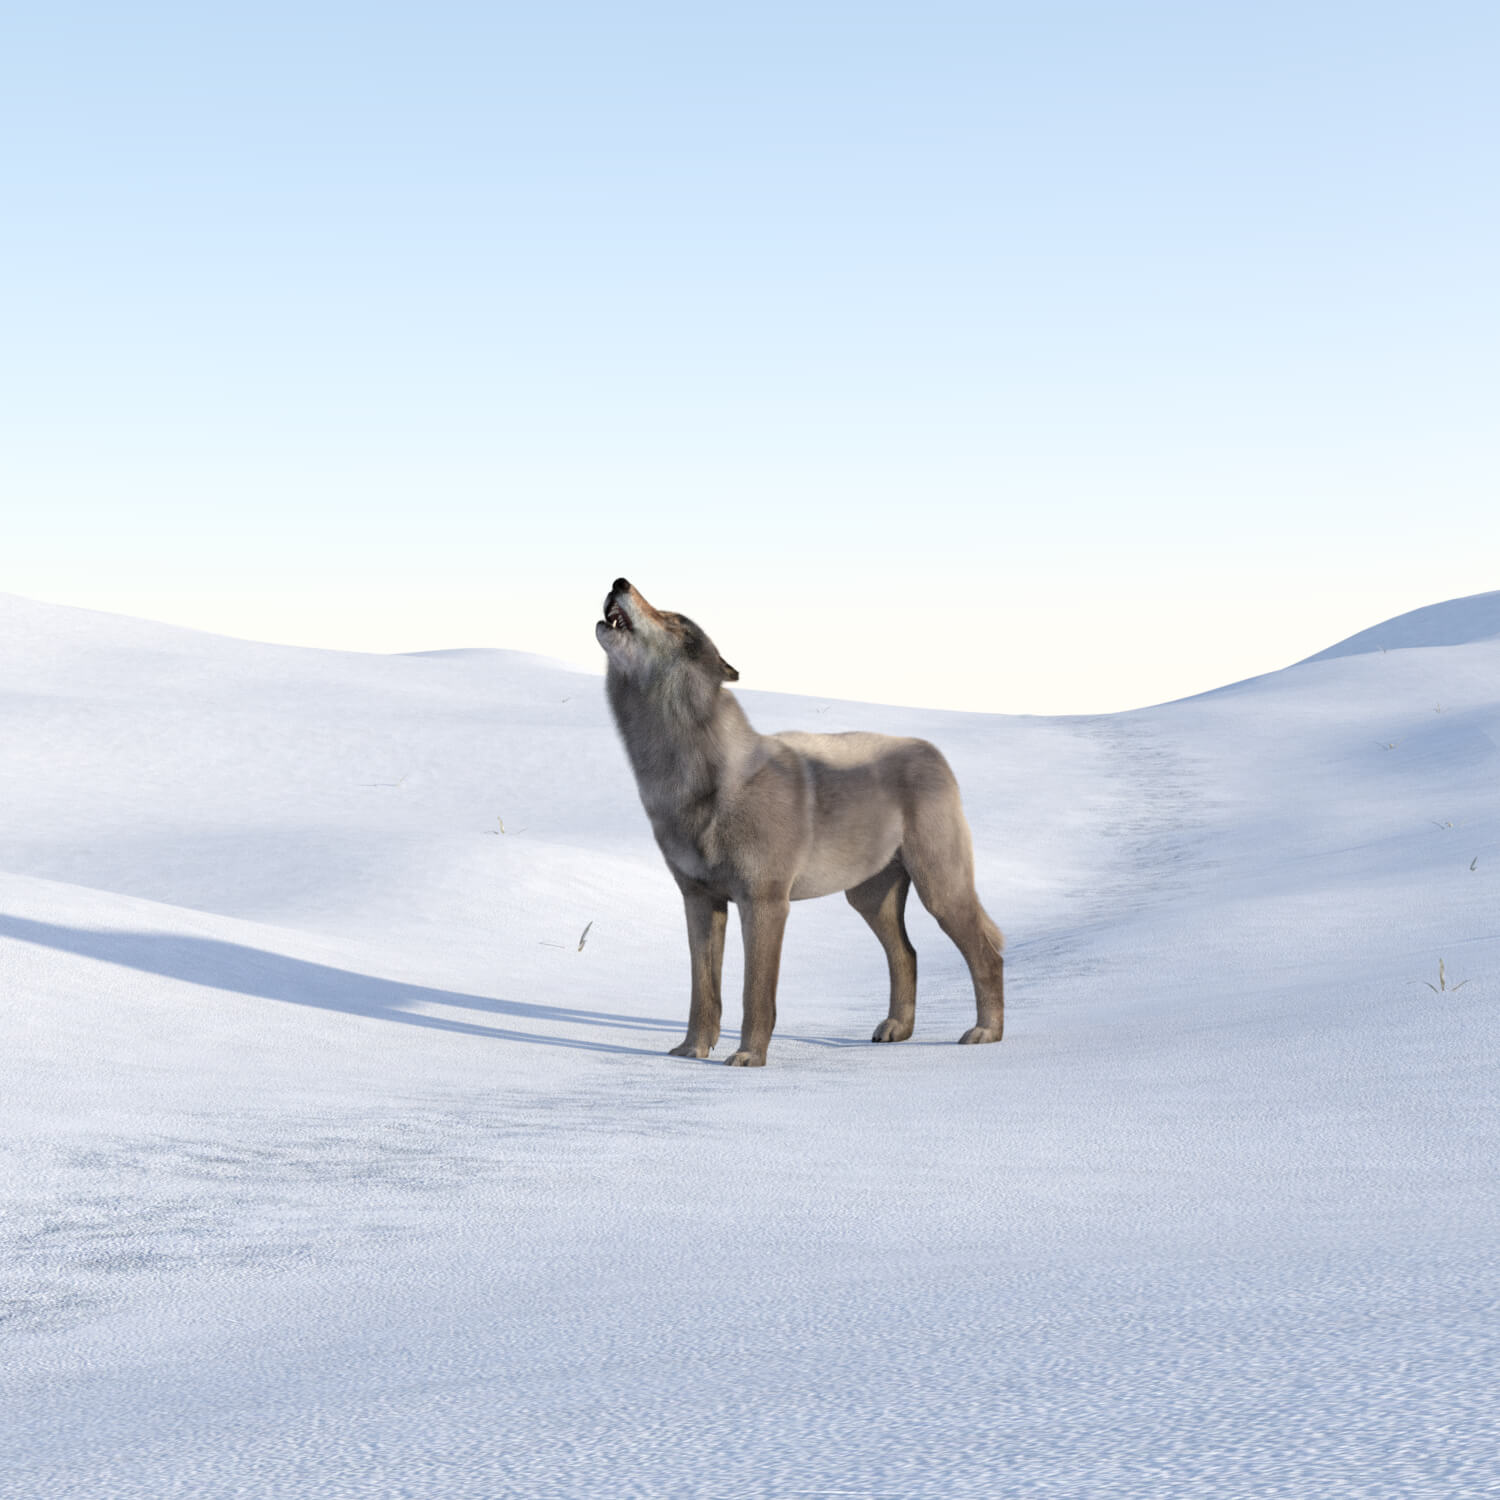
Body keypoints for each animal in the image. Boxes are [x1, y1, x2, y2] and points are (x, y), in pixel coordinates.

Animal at [597, 578, 1005, 1067]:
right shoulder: (698, 901)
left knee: (987, 953)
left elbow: (755, 993)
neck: (697, 778)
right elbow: (704, 993)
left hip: (940, 891)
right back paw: (896, 1029)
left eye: (674, 620)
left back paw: (986, 1032)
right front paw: (691, 1052)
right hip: (868, 899)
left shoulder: (765, 903)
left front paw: (748, 1058)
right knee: (907, 954)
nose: (619, 581)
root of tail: (930, 749)